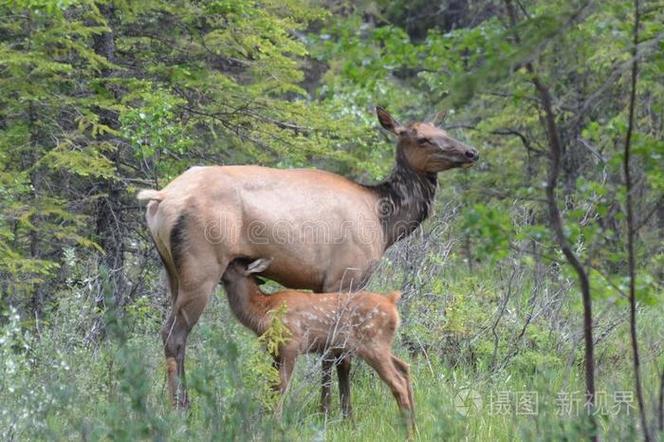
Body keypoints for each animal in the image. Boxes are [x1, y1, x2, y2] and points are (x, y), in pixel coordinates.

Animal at [137, 106, 478, 409]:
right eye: (422, 138)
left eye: (442, 130)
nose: (470, 152)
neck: (385, 223)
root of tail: (160, 198)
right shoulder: (345, 275)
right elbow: (339, 356)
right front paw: (339, 413)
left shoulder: (321, 285)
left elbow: (328, 351)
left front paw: (326, 408)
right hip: (202, 267)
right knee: (174, 334)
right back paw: (181, 408)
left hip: (172, 270)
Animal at [220, 257, 415, 433]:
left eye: (229, 264)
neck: (262, 311)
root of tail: (391, 301)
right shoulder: (275, 352)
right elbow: (272, 386)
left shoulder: (291, 345)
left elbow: (282, 386)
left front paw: (275, 425)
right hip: (379, 346)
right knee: (404, 367)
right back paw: (415, 427)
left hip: (372, 344)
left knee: (397, 382)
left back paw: (408, 433)